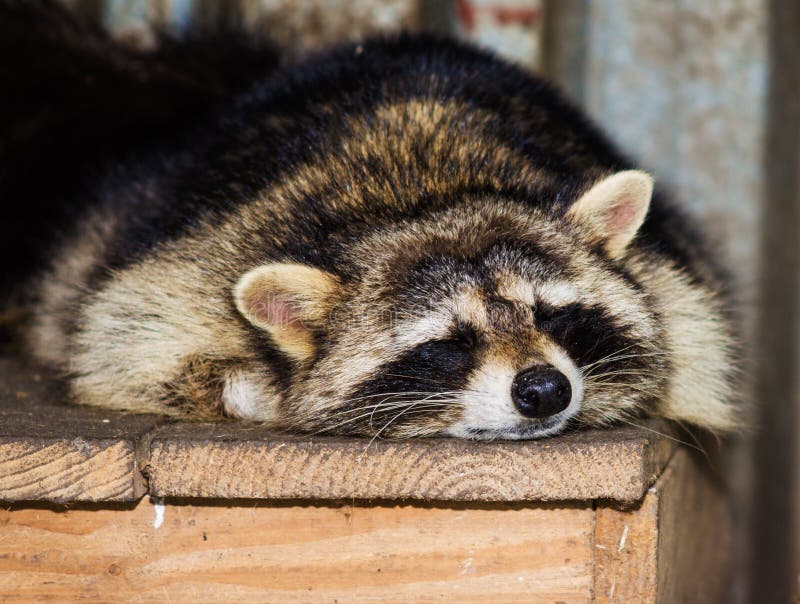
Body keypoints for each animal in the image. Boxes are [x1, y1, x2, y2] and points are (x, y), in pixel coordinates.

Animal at [22, 34, 738, 440]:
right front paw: (260, 391)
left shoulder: (677, 281)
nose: (544, 391)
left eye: (554, 314)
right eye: (450, 342)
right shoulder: (191, 268)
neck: (430, 197)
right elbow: (122, 344)